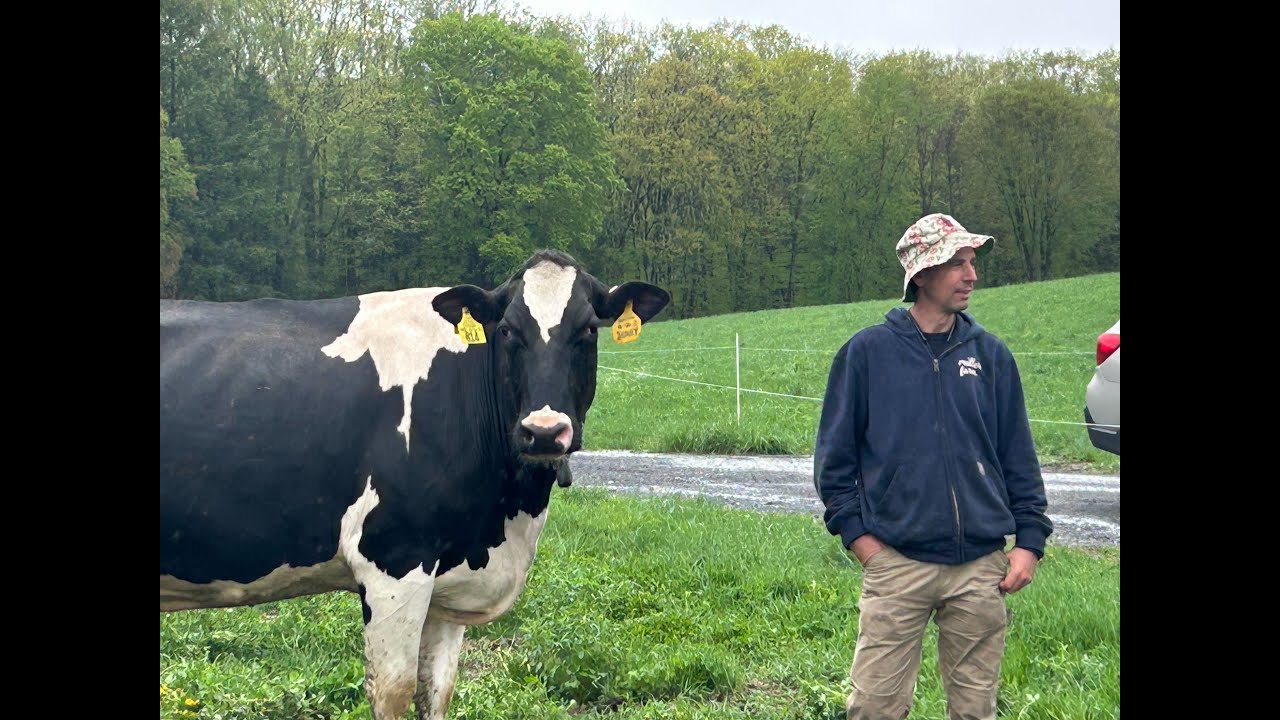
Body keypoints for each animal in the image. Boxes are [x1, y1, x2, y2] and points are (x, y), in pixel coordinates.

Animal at [160, 250, 670, 720]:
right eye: (507, 330)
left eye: (588, 330)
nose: (544, 432)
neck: (505, 519)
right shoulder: (393, 560)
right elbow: (394, 690)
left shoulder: (447, 580)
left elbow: (437, 690)